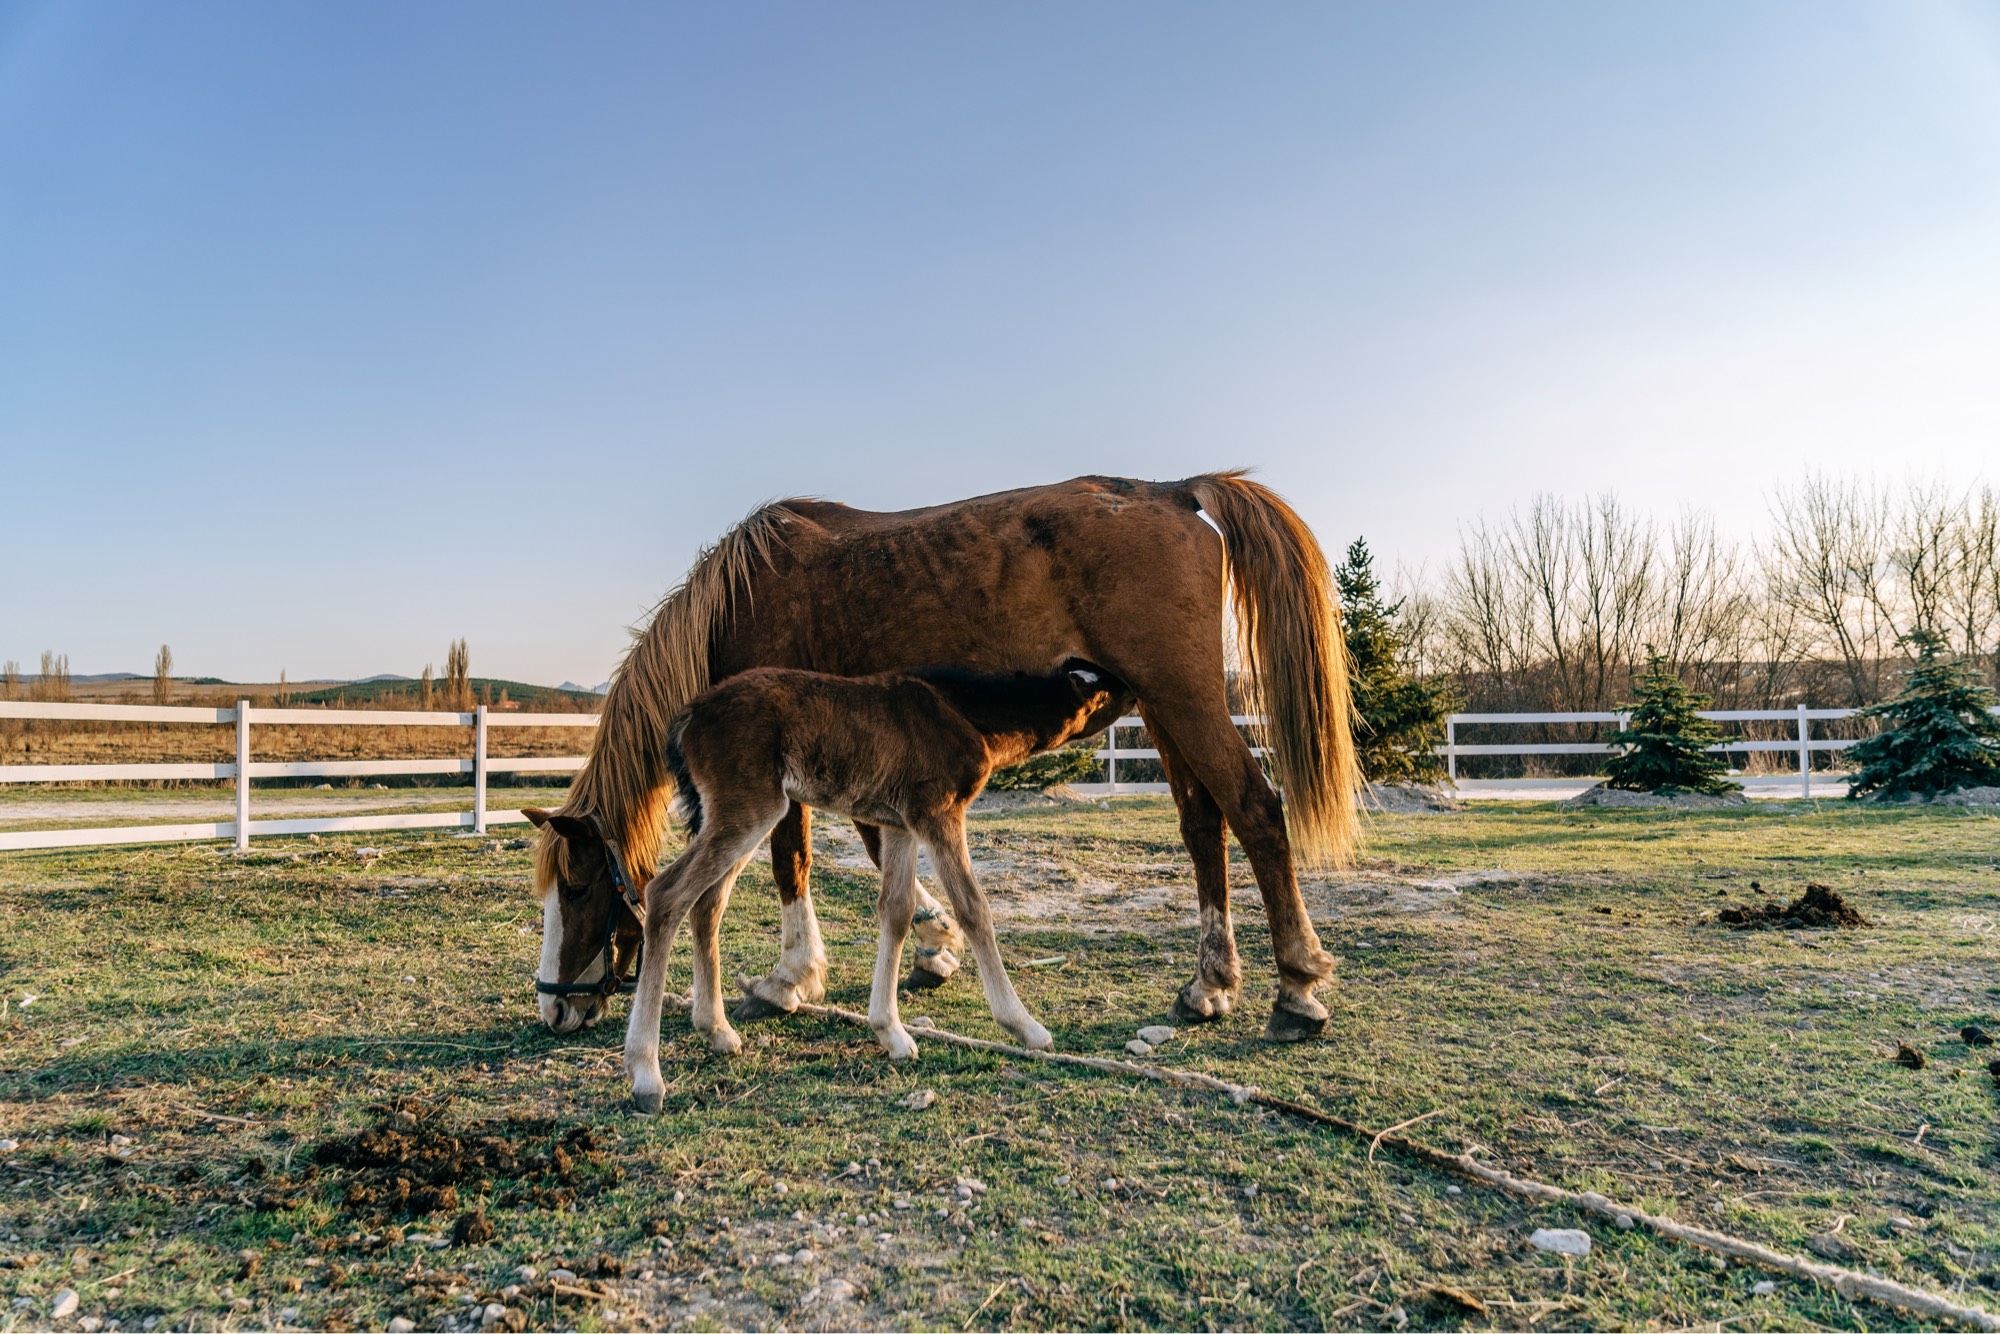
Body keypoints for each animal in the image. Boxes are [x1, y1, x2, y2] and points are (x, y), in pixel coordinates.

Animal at [532, 470, 1360, 1040]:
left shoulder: (785, 759)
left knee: (1254, 809)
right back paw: (1211, 983)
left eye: (576, 888)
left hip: (1184, 698)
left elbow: (795, 857)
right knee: (1202, 826)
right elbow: (877, 847)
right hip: (1163, 707)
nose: (555, 1011)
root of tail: (1169, 493)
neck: (736, 602)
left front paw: (794, 976)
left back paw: (1296, 987)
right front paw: (934, 942)